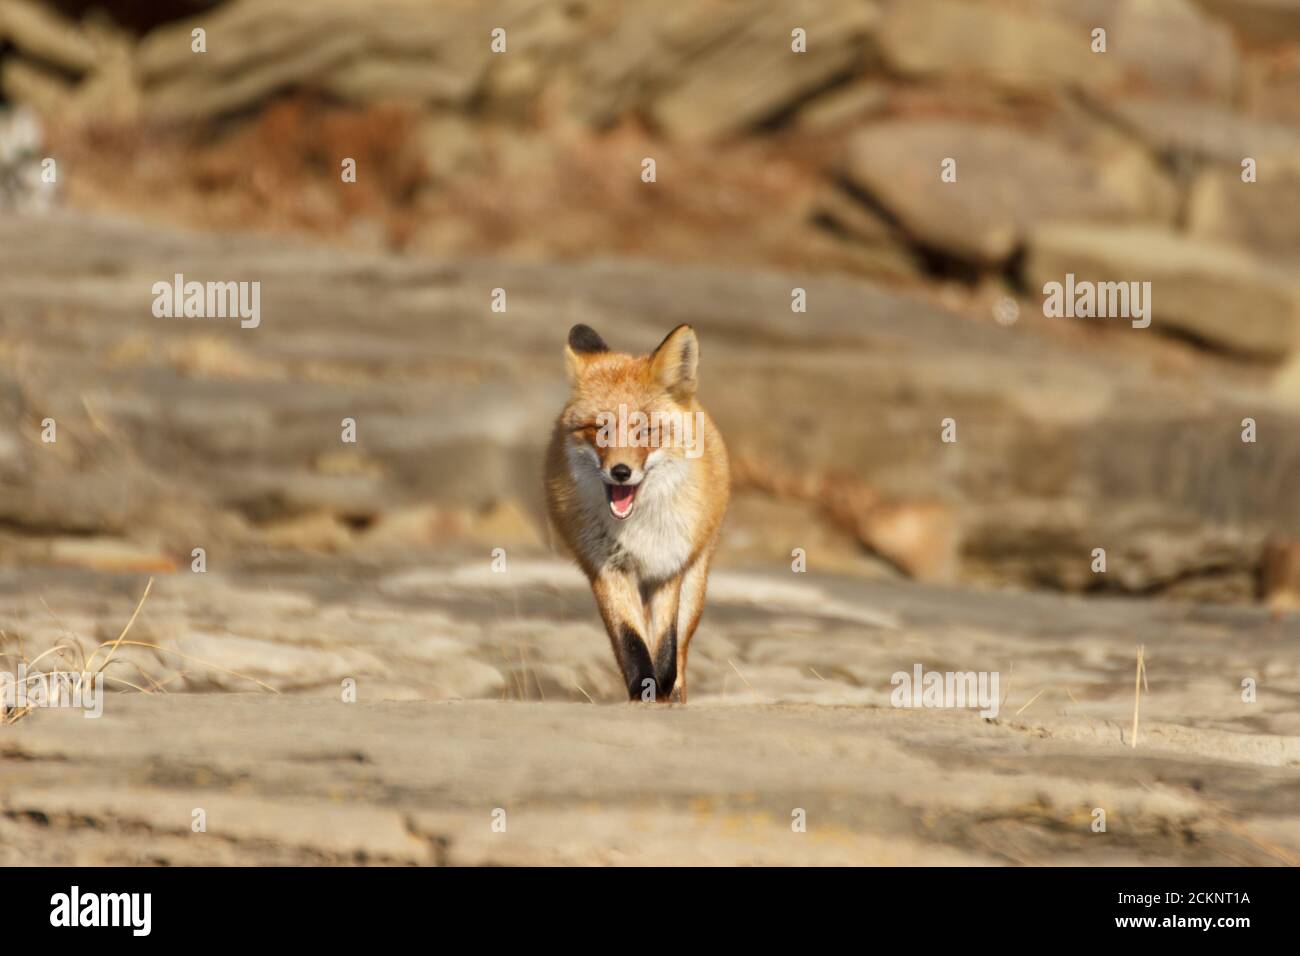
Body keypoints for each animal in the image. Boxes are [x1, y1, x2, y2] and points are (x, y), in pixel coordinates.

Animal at [544, 323, 729, 703]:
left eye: (645, 431)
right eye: (599, 429)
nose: (620, 472)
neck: (637, 527)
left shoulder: (668, 567)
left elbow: (666, 648)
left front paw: (662, 688)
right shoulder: (606, 569)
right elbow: (630, 641)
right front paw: (642, 689)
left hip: (695, 583)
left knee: (682, 650)